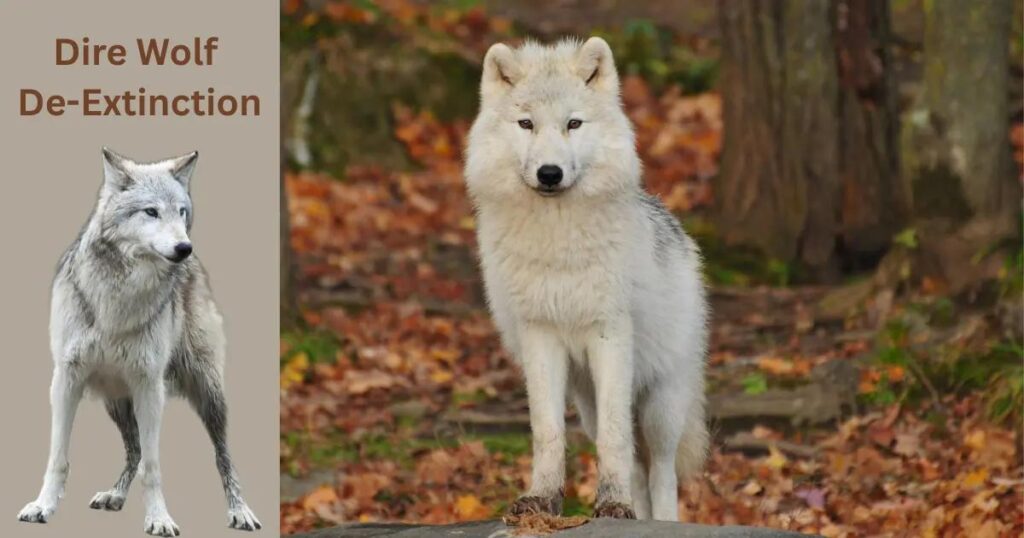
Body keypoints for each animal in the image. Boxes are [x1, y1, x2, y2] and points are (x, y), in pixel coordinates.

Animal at [17, 148, 261, 536]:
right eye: (151, 212)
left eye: (181, 211)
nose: (184, 247)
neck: (118, 302)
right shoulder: (66, 379)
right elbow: (58, 456)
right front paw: (42, 506)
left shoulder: (149, 385)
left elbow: (153, 465)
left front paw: (159, 518)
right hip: (117, 401)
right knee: (133, 450)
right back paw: (114, 495)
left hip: (208, 393)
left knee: (222, 455)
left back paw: (240, 511)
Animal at [464, 37, 709, 521]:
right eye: (526, 124)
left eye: (573, 124)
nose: (550, 173)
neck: (557, 242)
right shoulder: (540, 335)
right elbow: (547, 432)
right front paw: (542, 499)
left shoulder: (609, 333)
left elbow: (616, 439)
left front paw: (611, 502)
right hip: (588, 401)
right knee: (636, 467)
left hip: (660, 404)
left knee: (662, 471)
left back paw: (659, 520)